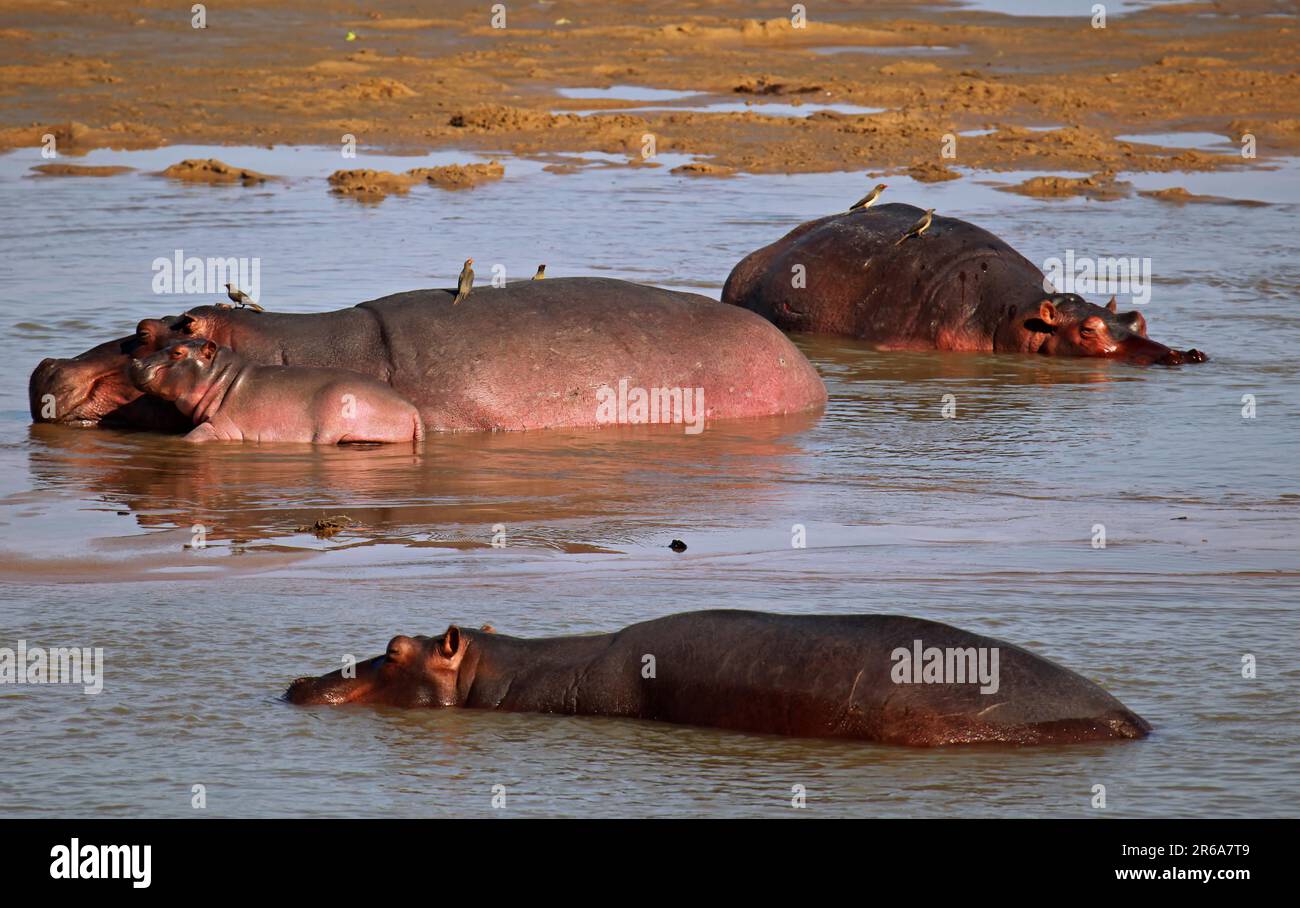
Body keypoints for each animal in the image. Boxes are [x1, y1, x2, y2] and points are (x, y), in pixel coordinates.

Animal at [129, 339, 424, 443]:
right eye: (167, 344)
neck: (220, 378)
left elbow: (193, 436)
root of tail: (412, 410)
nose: (135, 361)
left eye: (178, 353)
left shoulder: (221, 426)